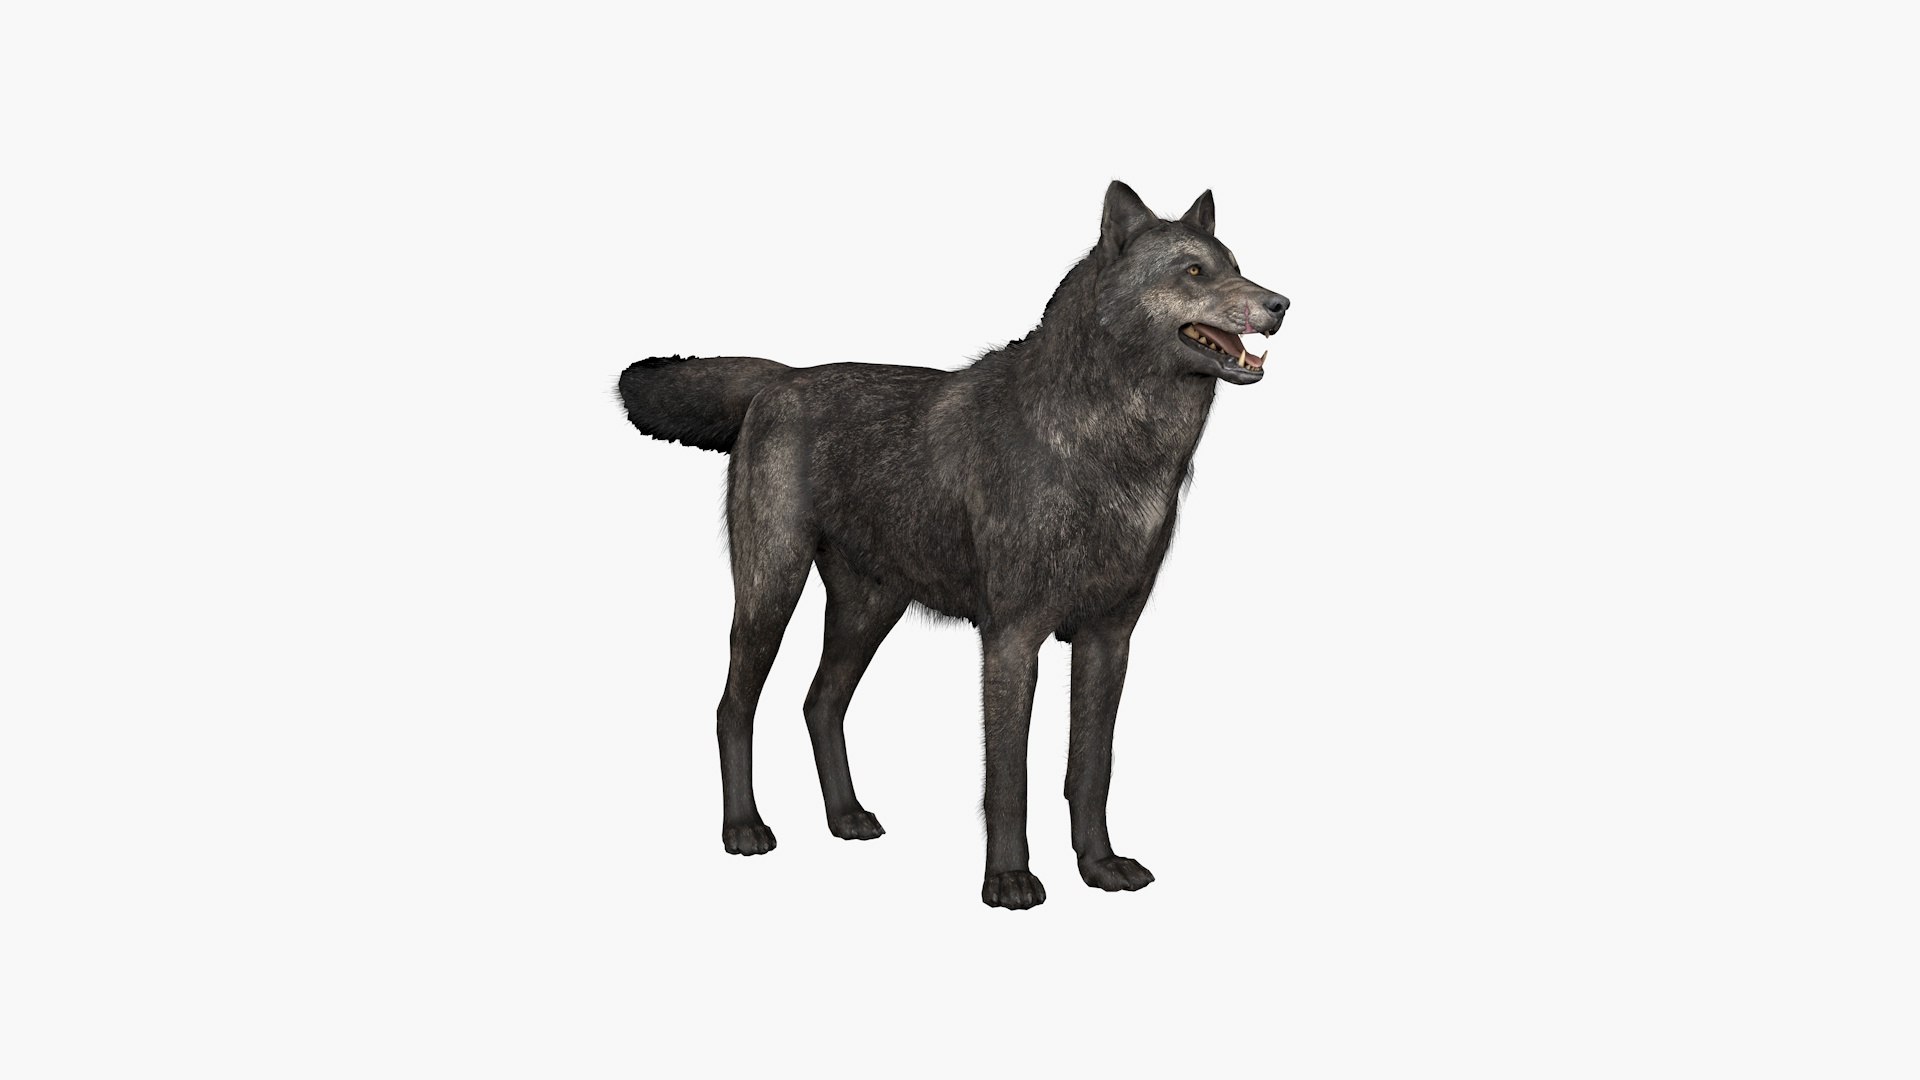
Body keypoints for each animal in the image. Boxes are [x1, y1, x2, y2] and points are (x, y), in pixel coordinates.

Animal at [617, 181, 1288, 908]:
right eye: (1194, 271)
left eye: (1236, 265)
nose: (1281, 304)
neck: (1103, 444)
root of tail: (779, 379)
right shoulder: (1012, 638)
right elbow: (1010, 780)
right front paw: (1009, 881)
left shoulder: (1108, 638)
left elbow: (1091, 768)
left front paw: (1100, 866)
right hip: (772, 593)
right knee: (733, 707)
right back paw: (744, 828)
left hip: (866, 613)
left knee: (820, 703)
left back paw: (847, 817)